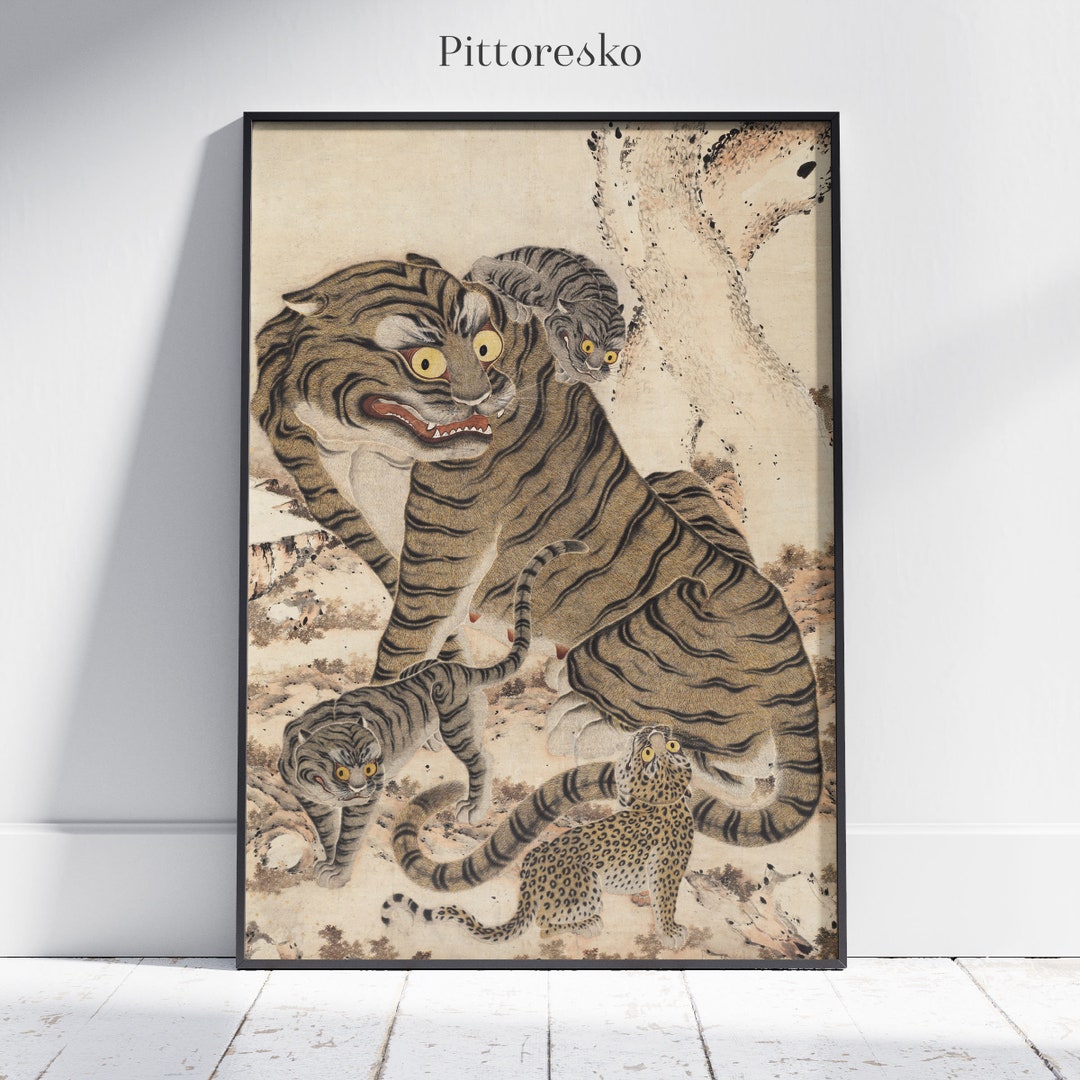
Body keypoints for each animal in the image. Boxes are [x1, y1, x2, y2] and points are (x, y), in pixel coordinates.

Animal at [382, 727, 695, 948]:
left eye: (672, 746)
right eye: (648, 752)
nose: (655, 730)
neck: (665, 800)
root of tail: (533, 865)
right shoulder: (665, 870)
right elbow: (665, 901)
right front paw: (670, 932)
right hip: (587, 888)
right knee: (544, 923)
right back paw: (586, 924)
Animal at [466, 246, 625, 384]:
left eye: (611, 356)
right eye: (587, 346)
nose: (594, 367)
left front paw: (568, 375)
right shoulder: (539, 289)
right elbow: (483, 264)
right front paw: (516, 307)